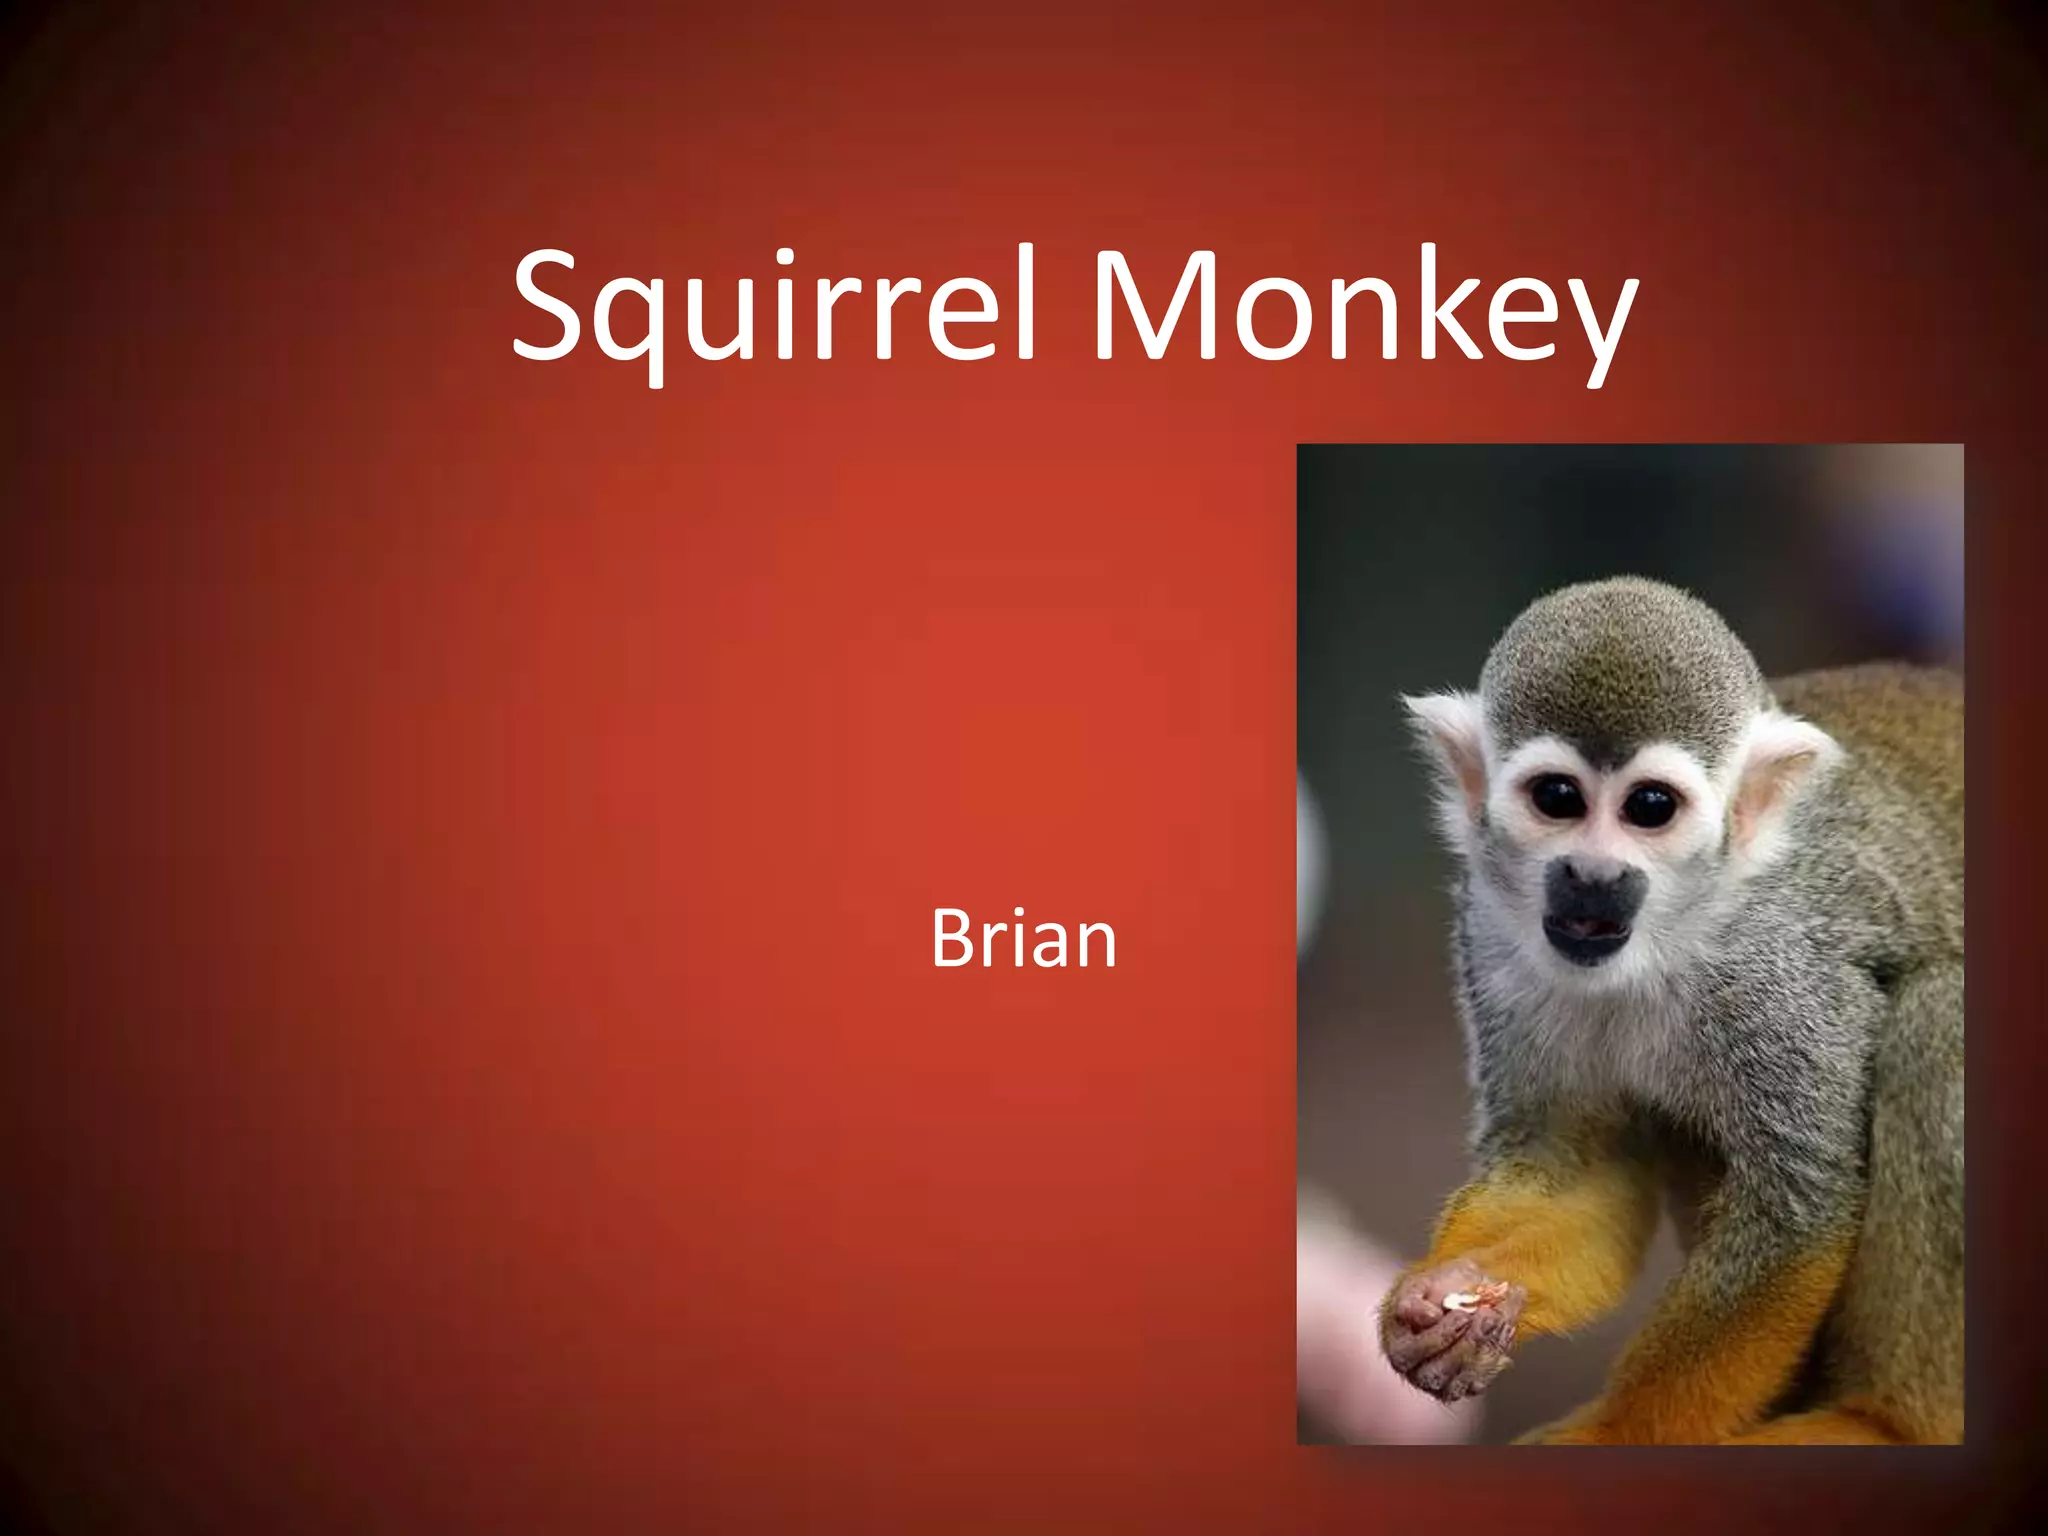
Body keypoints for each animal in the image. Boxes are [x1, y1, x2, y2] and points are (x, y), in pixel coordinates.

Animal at [1377, 576, 1963, 1445]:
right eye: (1558, 798)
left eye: (1650, 807)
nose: (1593, 876)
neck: (1664, 941)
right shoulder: (1487, 931)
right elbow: (1578, 1163)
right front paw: (1443, 1292)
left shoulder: (1781, 975)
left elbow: (1797, 1204)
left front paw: (1610, 1438)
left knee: (1935, 1021)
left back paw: (1894, 1422)